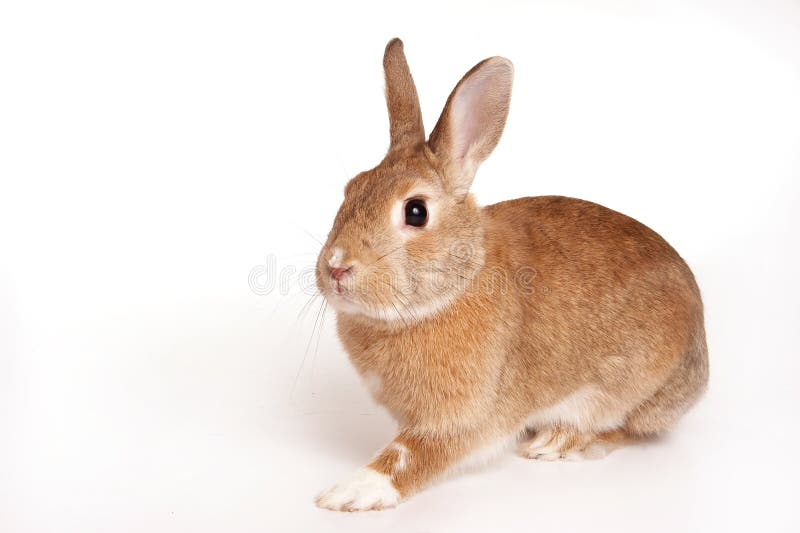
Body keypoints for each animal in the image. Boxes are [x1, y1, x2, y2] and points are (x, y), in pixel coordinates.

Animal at [313, 38, 708, 512]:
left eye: (416, 211)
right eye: (351, 190)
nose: (337, 266)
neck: (454, 287)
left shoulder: (463, 418)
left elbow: (410, 456)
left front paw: (349, 493)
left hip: (636, 389)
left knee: (628, 427)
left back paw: (557, 442)